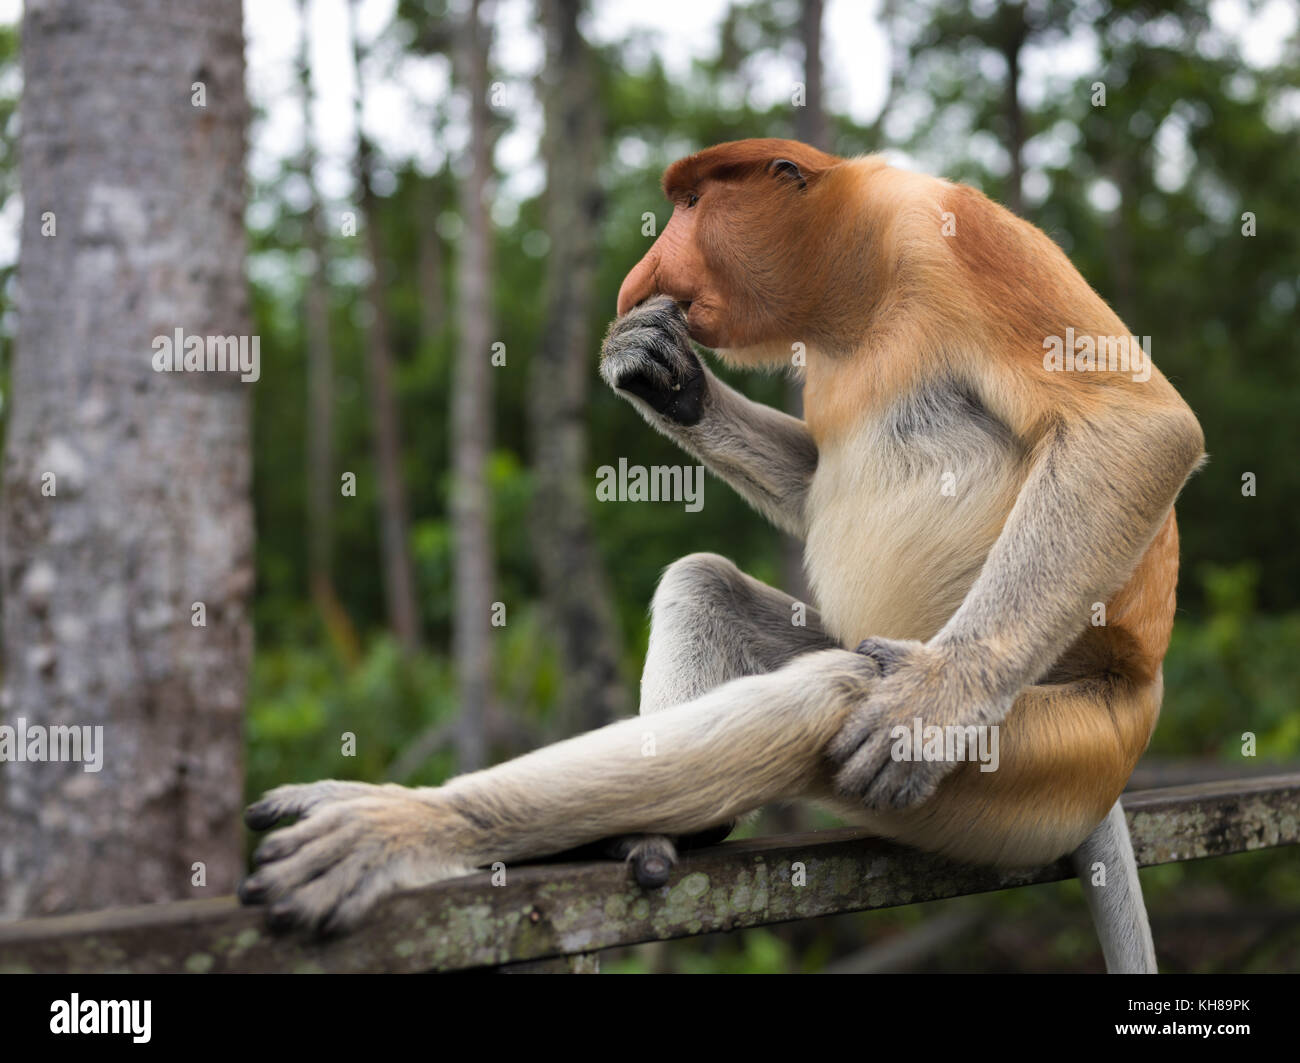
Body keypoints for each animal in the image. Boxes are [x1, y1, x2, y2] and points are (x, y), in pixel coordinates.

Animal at [241, 139, 1203, 973]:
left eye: (695, 203)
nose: (642, 281)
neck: (859, 289)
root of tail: (1133, 693)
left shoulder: (957, 235)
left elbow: (1141, 425)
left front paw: (933, 700)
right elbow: (813, 478)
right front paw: (664, 374)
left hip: (1048, 753)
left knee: (830, 699)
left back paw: (403, 826)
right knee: (701, 584)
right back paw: (657, 832)